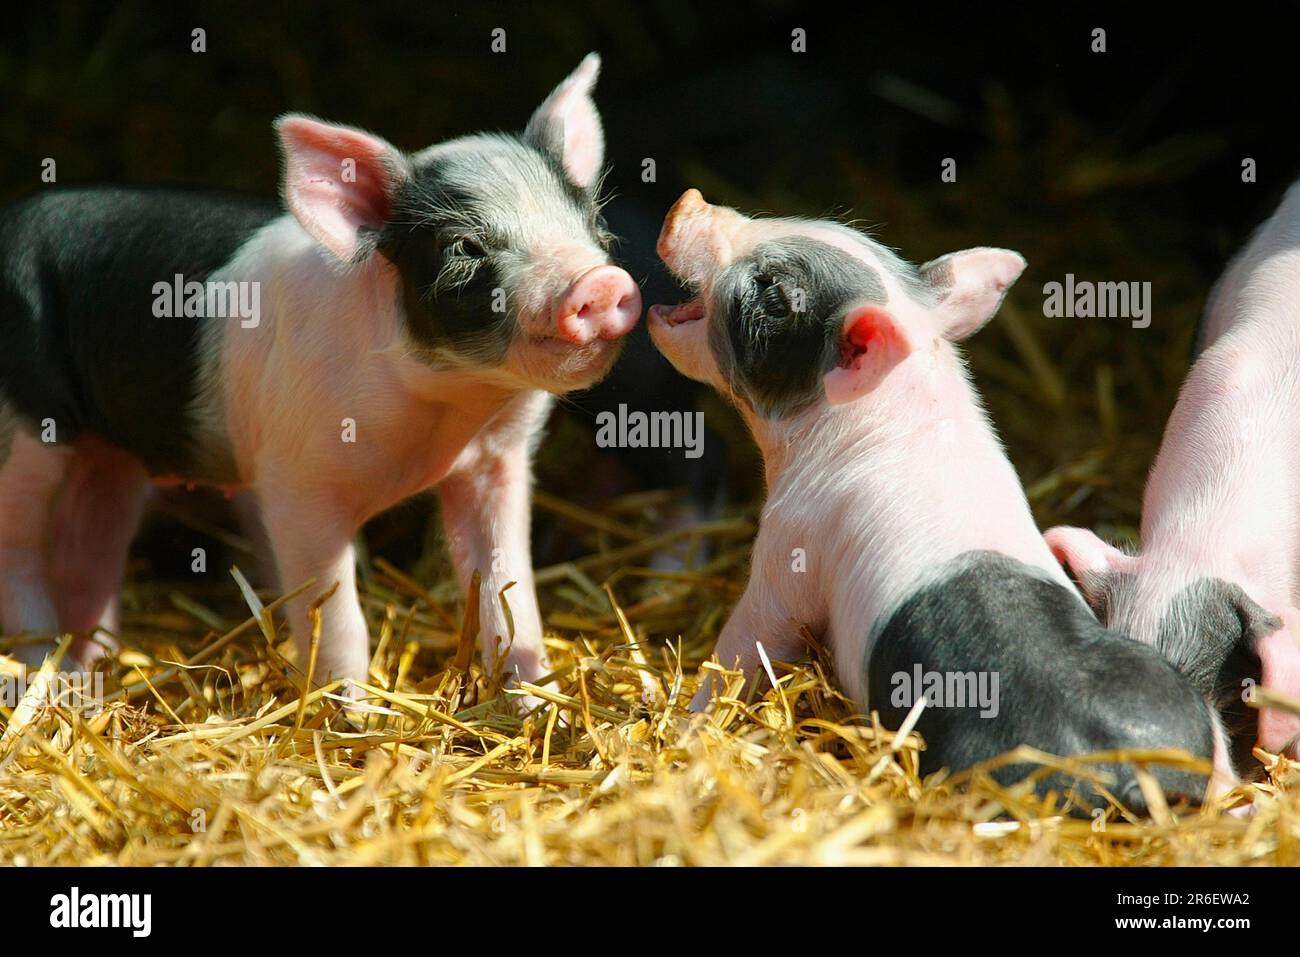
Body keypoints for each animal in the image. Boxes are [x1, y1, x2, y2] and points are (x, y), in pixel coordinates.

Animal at [0, 54, 641, 702]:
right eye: (463, 246)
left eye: (589, 218)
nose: (600, 283)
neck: (443, 412)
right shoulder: (295, 480)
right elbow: (335, 614)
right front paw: (349, 712)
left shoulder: (497, 462)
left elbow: (509, 591)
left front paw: (533, 704)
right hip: (26, 426)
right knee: (20, 552)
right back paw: (41, 676)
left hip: (111, 451)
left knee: (90, 550)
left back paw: (91, 671)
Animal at [649, 188, 1215, 812]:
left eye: (771, 290)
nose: (689, 199)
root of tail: (1127, 768)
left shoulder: (789, 548)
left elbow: (744, 647)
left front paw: (686, 726)